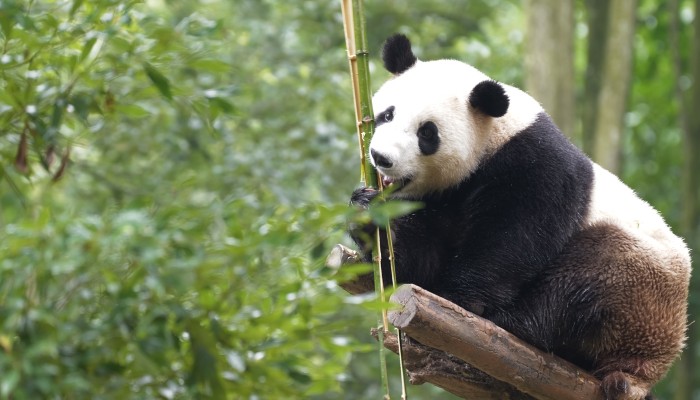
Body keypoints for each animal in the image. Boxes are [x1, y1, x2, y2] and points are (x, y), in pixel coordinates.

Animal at [349, 34, 691, 400]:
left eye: (427, 133)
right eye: (387, 114)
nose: (382, 158)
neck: (494, 137)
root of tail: (645, 366)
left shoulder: (535, 166)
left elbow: (513, 238)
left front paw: (458, 299)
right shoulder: (446, 196)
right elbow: (422, 253)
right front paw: (368, 215)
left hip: (643, 286)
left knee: (586, 276)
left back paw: (512, 322)